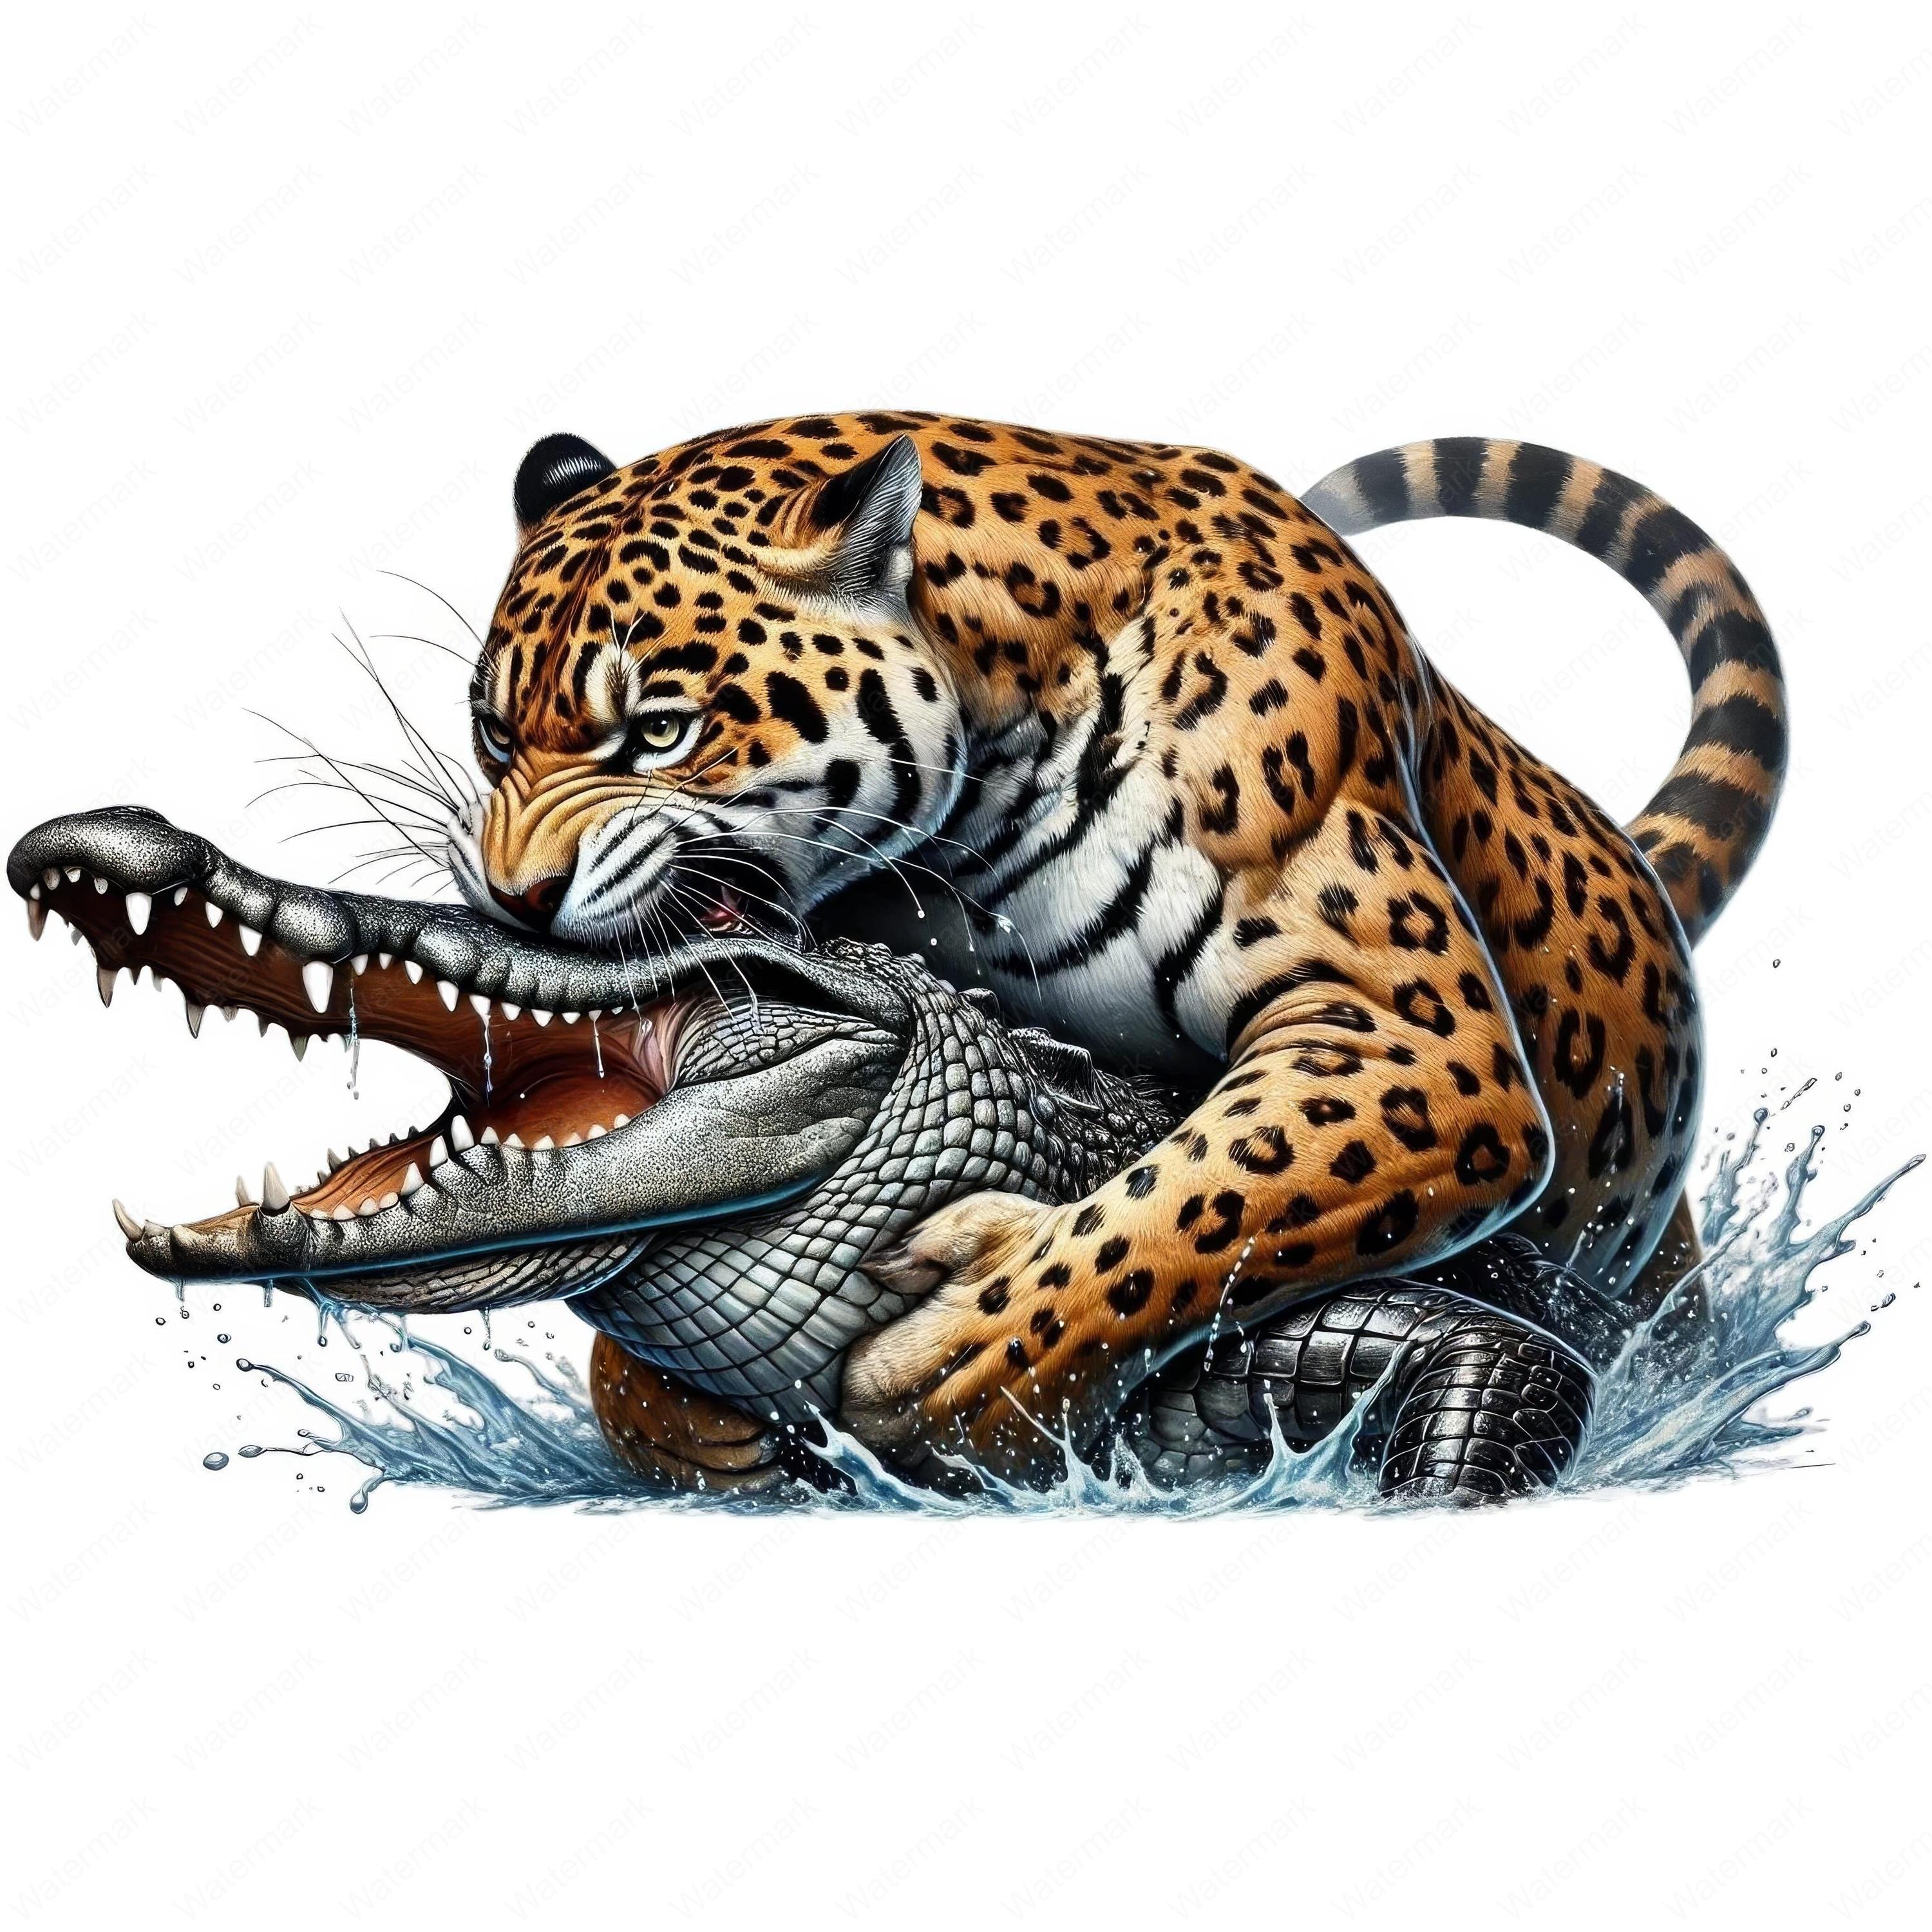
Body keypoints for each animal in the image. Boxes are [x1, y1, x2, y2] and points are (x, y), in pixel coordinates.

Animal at [446, 413, 1787, 1485]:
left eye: (662, 732)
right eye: (494, 735)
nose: (515, 898)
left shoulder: (1420, 1049)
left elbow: (1194, 1204)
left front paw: (961, 1371)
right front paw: (665, 1406)